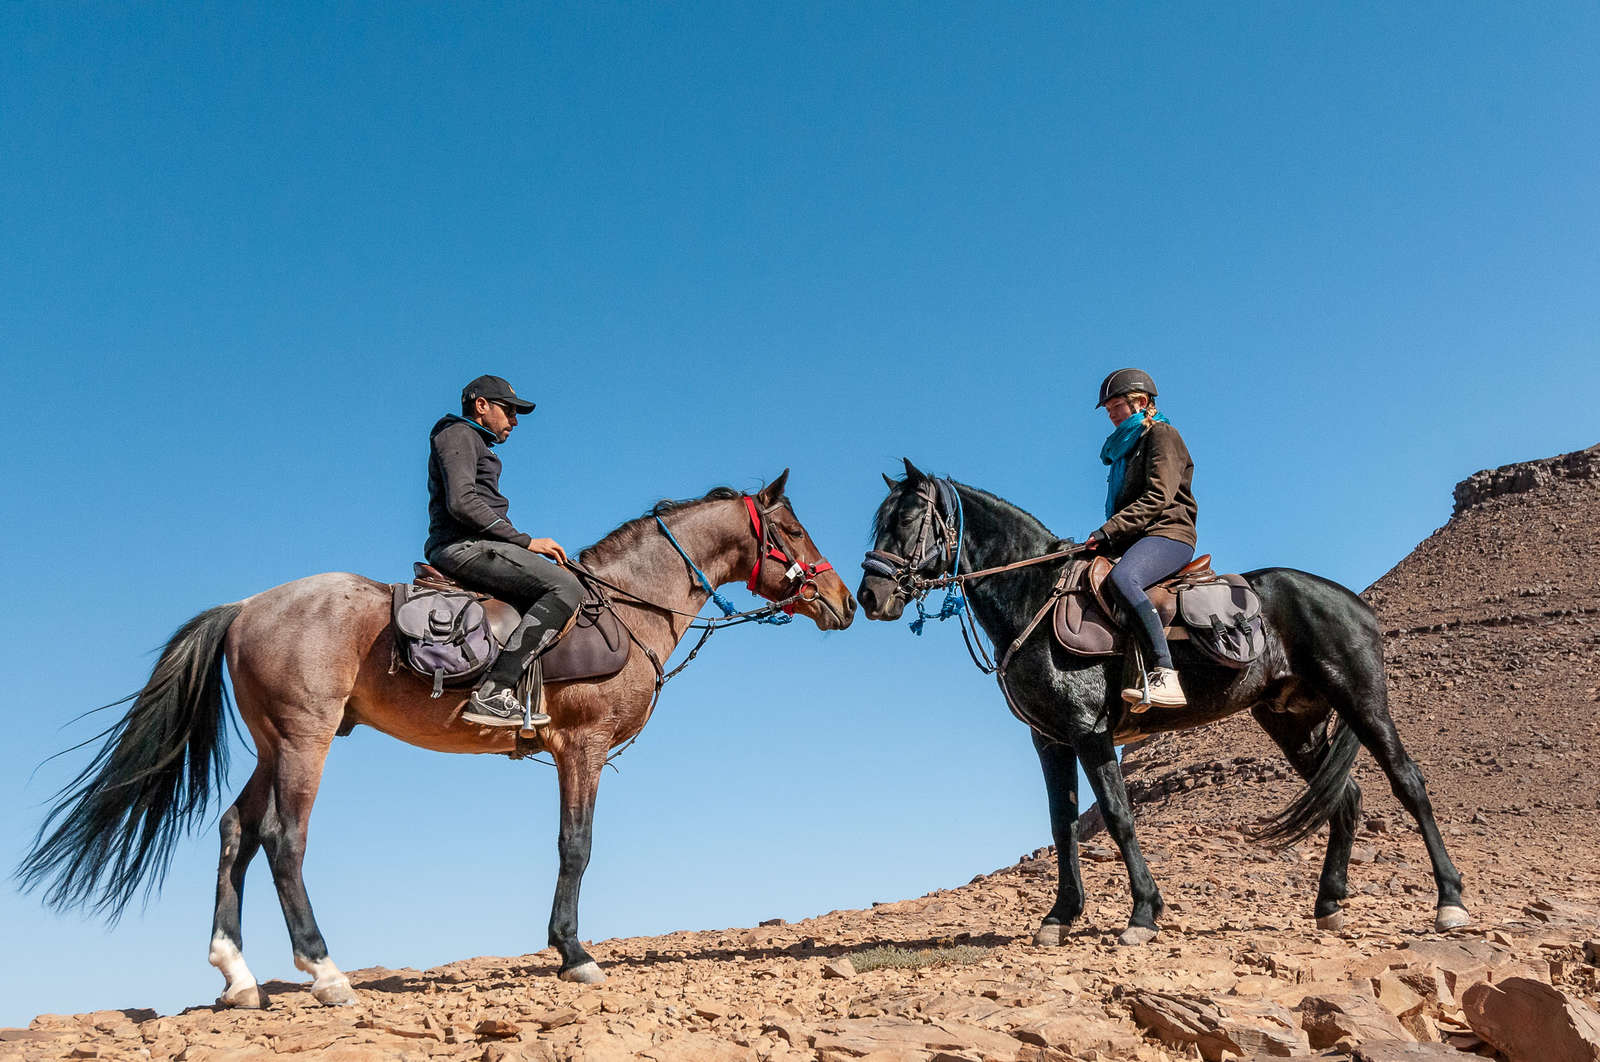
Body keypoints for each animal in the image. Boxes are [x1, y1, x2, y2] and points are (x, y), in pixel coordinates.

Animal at [19, 471, 855, 1007]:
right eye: (793, 530)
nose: (843, 602)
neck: (628, 603)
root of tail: (249, 604)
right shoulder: (581, 749)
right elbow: (576, 847)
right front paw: (573, 954)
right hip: (304, 739)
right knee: (285, 839)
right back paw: (326, 973)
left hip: (273, 742)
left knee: (236, 831)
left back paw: (239, 976)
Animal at [856, 460, 1466, 947]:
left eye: (907, 519)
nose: (870, 595)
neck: (1034, 595)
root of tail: (1353, 601)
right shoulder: (1050, 740)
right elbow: (1061, 823)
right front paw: (1060, 916)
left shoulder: (1089, 731)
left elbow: (1118, 816)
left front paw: (1143, 914)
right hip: (1294, 721)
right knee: (1347, 797)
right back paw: (1329, 904)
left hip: (1362, 700)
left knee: (1407, 782)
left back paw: (1450, 903)